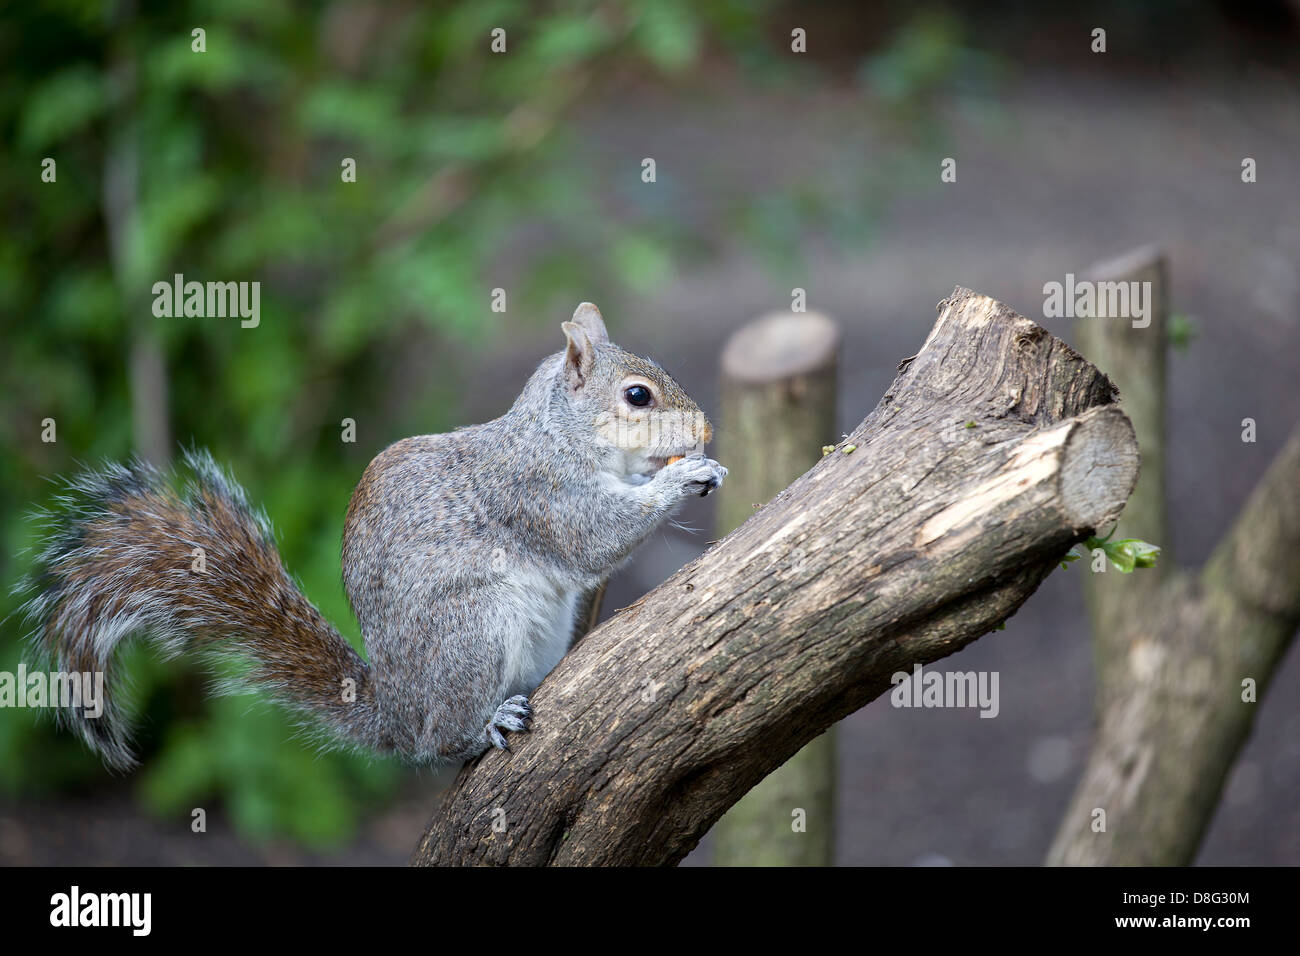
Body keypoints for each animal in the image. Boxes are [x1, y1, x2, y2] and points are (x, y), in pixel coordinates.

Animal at [18, 303, 726, 770]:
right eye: (637, 396)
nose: (706, 432)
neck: (559, 435)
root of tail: (395, 715)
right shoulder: (539, 494)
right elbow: (595, 539)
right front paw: (681, 476)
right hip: (470, 630)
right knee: (438, 742)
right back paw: (481, 726)